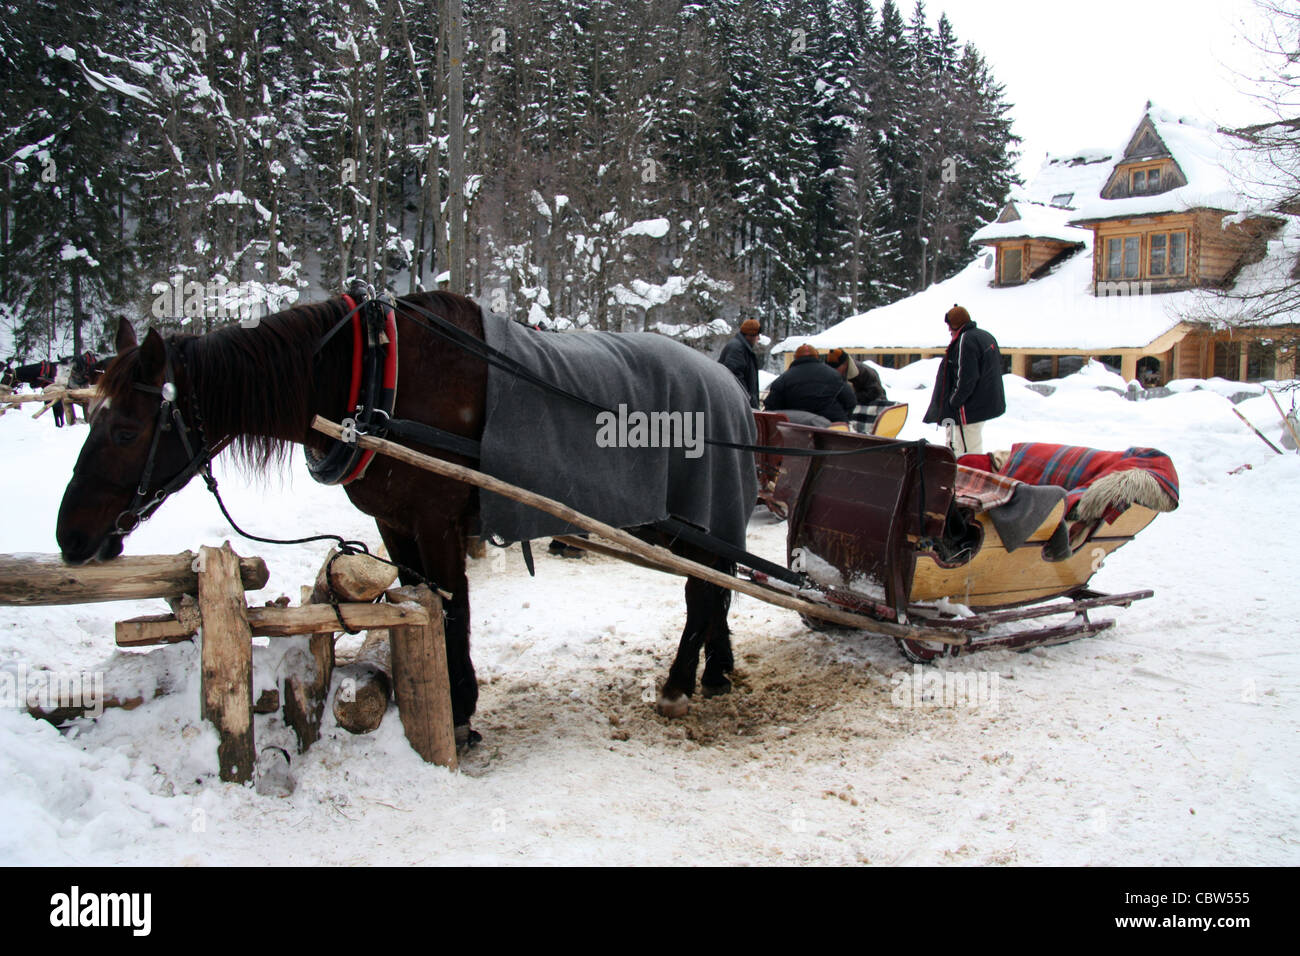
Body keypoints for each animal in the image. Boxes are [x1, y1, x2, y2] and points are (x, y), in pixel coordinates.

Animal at [55, 291, 756, 742]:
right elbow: (419, 598)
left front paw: (461, 711)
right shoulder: (394, 524)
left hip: (701, 520)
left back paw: (678, 684)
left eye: (124, 429)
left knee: (702, 593)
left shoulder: (436, 522)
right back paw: (716, 671)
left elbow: (452, 608)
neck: (372, 379)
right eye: (89, 415)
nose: (72, 536)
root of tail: (729, 384)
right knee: (717, 588)